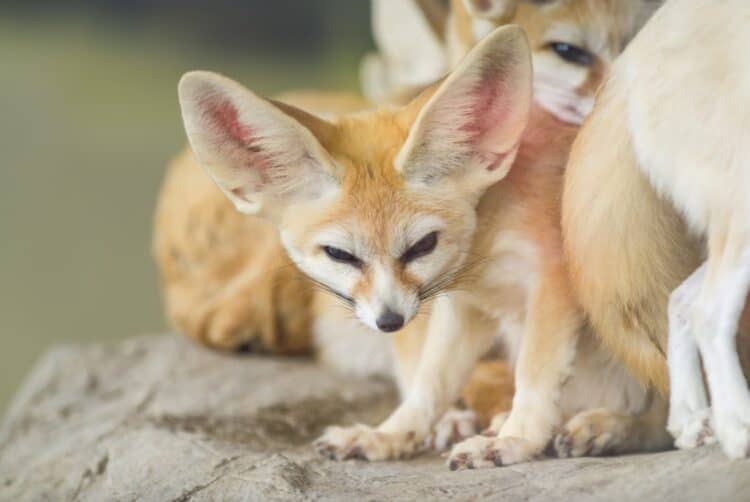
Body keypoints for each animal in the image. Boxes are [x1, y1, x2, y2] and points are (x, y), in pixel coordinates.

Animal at [176, 26, 672, 468]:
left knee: (671, 411)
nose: (388, 321)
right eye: (340, 255)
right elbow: (430, 382)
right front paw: (391, 435)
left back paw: (609, 427)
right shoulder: (467, 307)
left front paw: (517, 440)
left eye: (422, 245)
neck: (485, 241)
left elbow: (534, 374)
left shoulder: (553, 286)